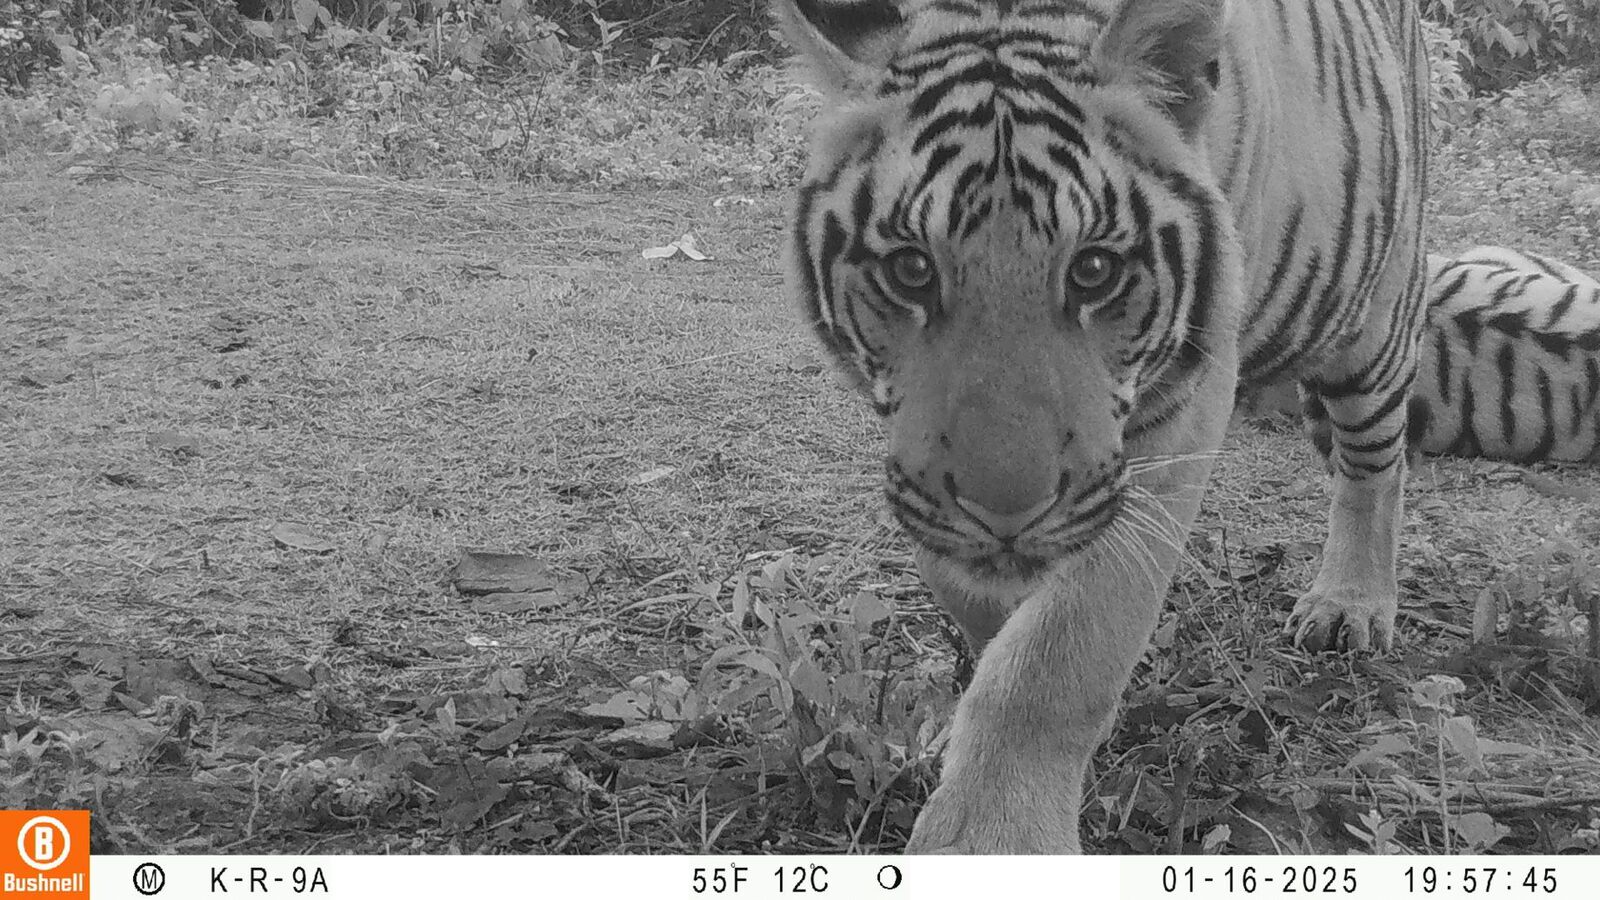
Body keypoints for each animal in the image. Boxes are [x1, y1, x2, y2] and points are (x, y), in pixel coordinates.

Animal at [778, 0, 1428, 853]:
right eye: (911, 270)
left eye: (1094, 271)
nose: (1006, 512)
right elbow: (971, 593)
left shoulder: (1174, 425)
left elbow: (1064, 650)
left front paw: (991, 837)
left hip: (1368, 320)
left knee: (1377, 463)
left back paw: (1349, 605)